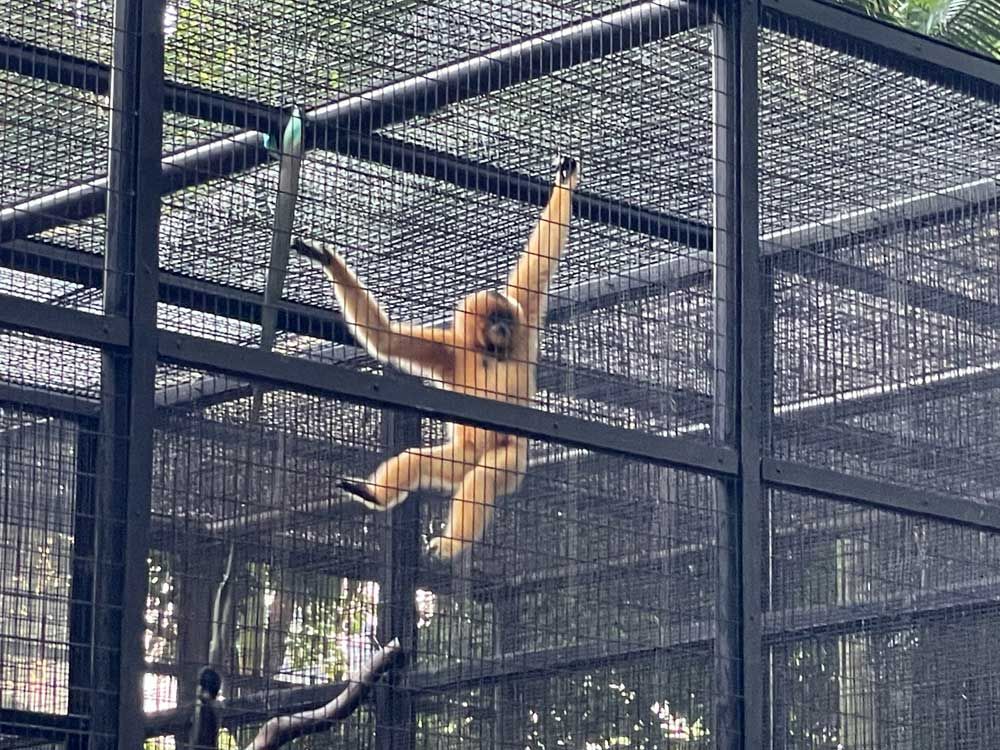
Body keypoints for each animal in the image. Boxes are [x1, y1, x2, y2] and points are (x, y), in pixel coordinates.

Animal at [291, 155, 580, 559]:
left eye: (505, 318)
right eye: (494, 318)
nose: (503, 327)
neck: (486, 351)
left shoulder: (523, 326)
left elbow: (539, 262)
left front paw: (566, 180)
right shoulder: (451, 350)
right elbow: (388, 340)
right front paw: (328, 260)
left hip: (510, 456)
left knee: (484, 476)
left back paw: (450, 543)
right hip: (458, 455)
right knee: (418, 459)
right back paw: (374, 495)